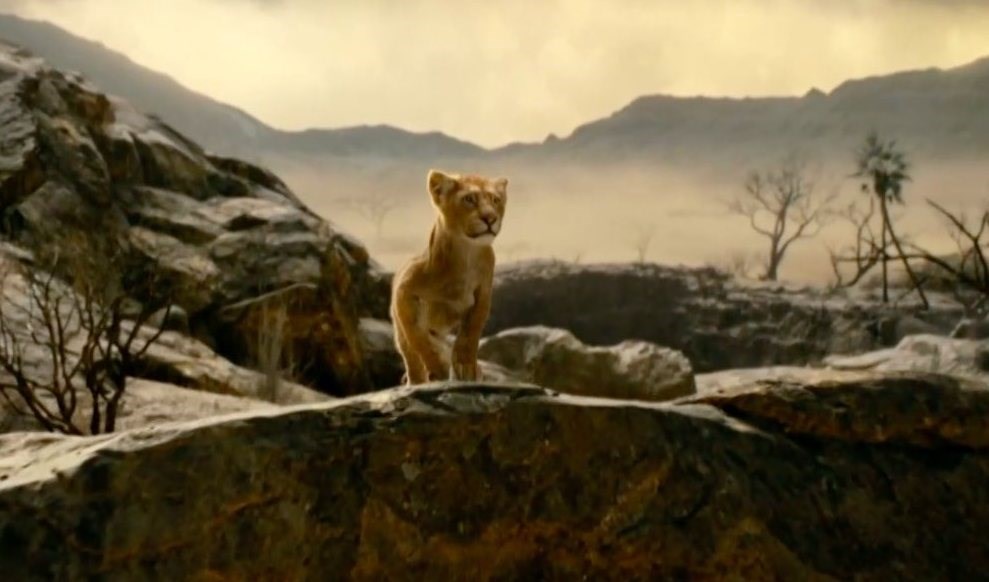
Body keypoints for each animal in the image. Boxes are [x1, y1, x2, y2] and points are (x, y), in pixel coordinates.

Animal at [389, 169, 508, 384]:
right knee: (411, 355)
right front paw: (438, 367)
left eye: (495, 200)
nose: (490, 218)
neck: (465, 254)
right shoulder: (403, 290)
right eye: (469, 199)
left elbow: (471, 332)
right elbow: (417, 336)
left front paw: (466, 366)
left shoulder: (484, 293)